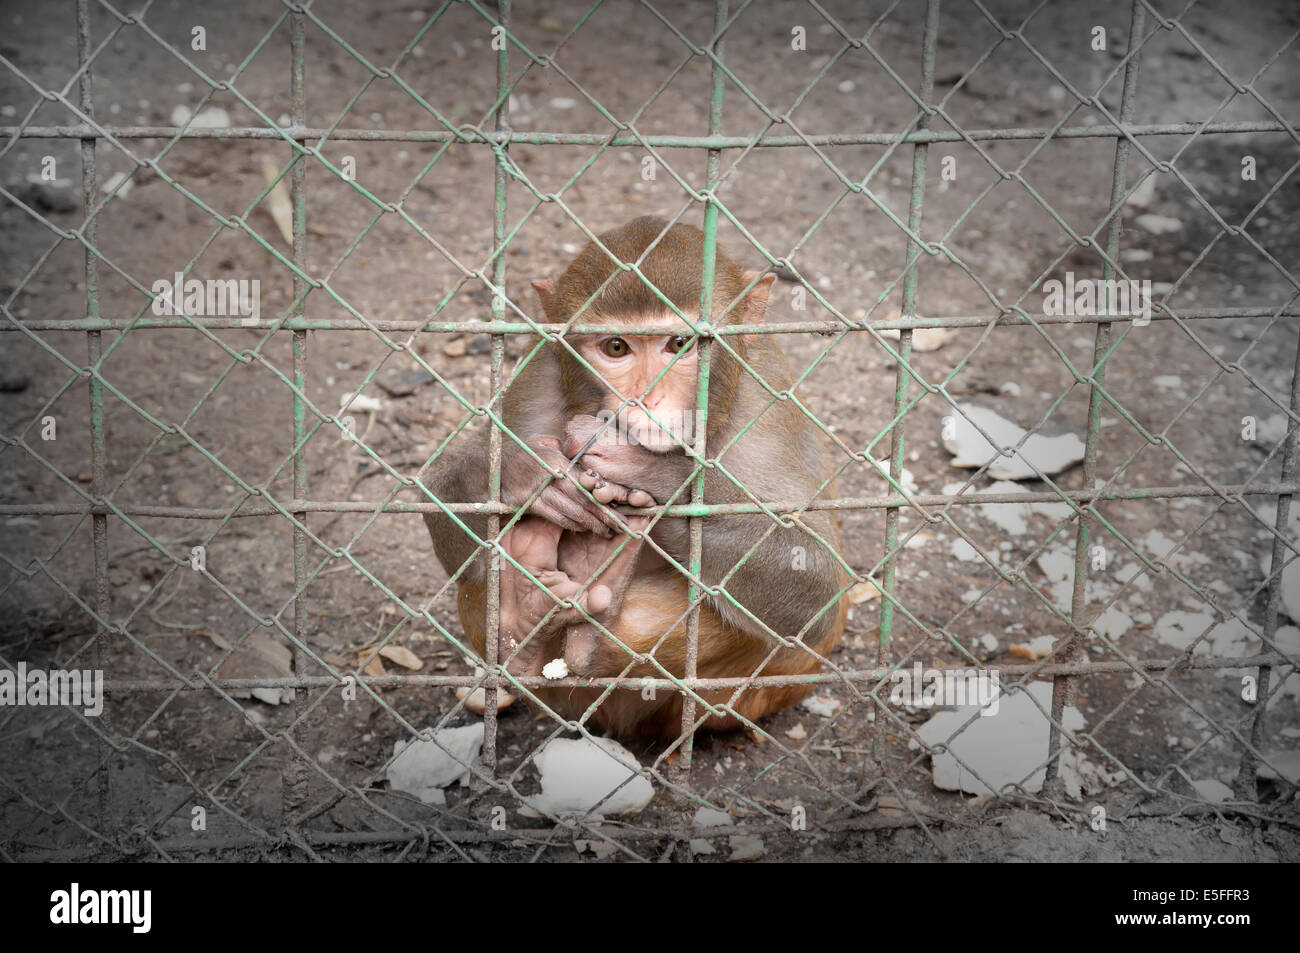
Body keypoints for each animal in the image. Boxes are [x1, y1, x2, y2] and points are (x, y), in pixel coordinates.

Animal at [423, 216, 849, 738]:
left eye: (679, 345)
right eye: (616, 347)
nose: (643, 400)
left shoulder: (764, 405)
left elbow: (817, 584)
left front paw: (648, 470)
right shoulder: (538, 374)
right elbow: (438, 497)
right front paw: (522, 468)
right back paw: (524, 617)